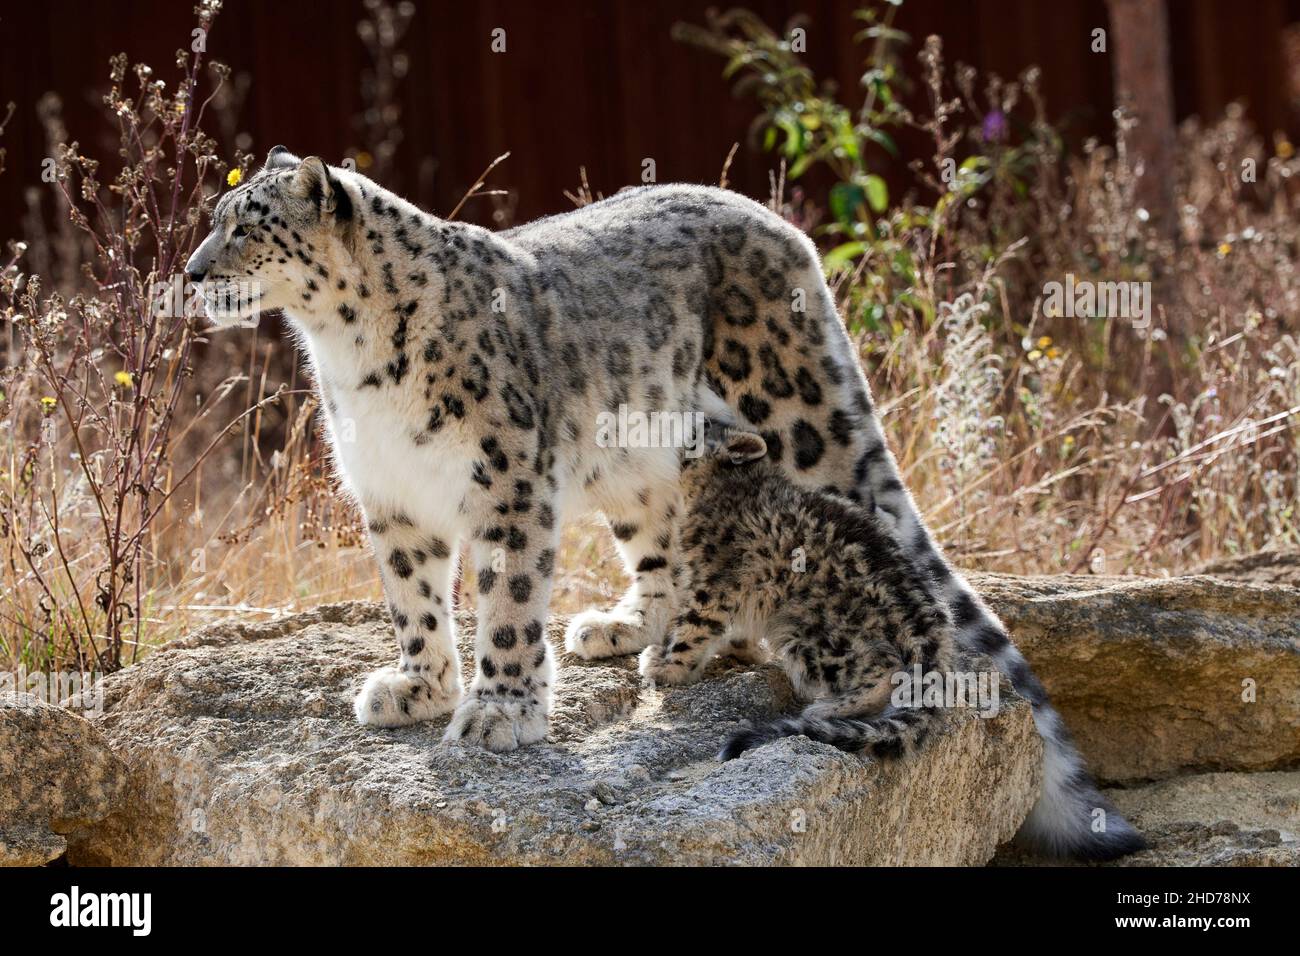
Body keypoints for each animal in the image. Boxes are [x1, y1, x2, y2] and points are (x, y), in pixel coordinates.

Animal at [184, 147, 1143, 859]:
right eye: (214, 219)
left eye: (246, 225)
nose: (190, 273)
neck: (349, 358)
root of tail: (774, 219)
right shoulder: (391, 497)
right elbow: (413, 599)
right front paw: (416, 687)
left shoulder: (507, 479)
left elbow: (505, 599)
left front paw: (500, 709)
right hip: (642, 465)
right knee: (666, 543)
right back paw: (629, 628)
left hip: (799, 418)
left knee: (869, 537)